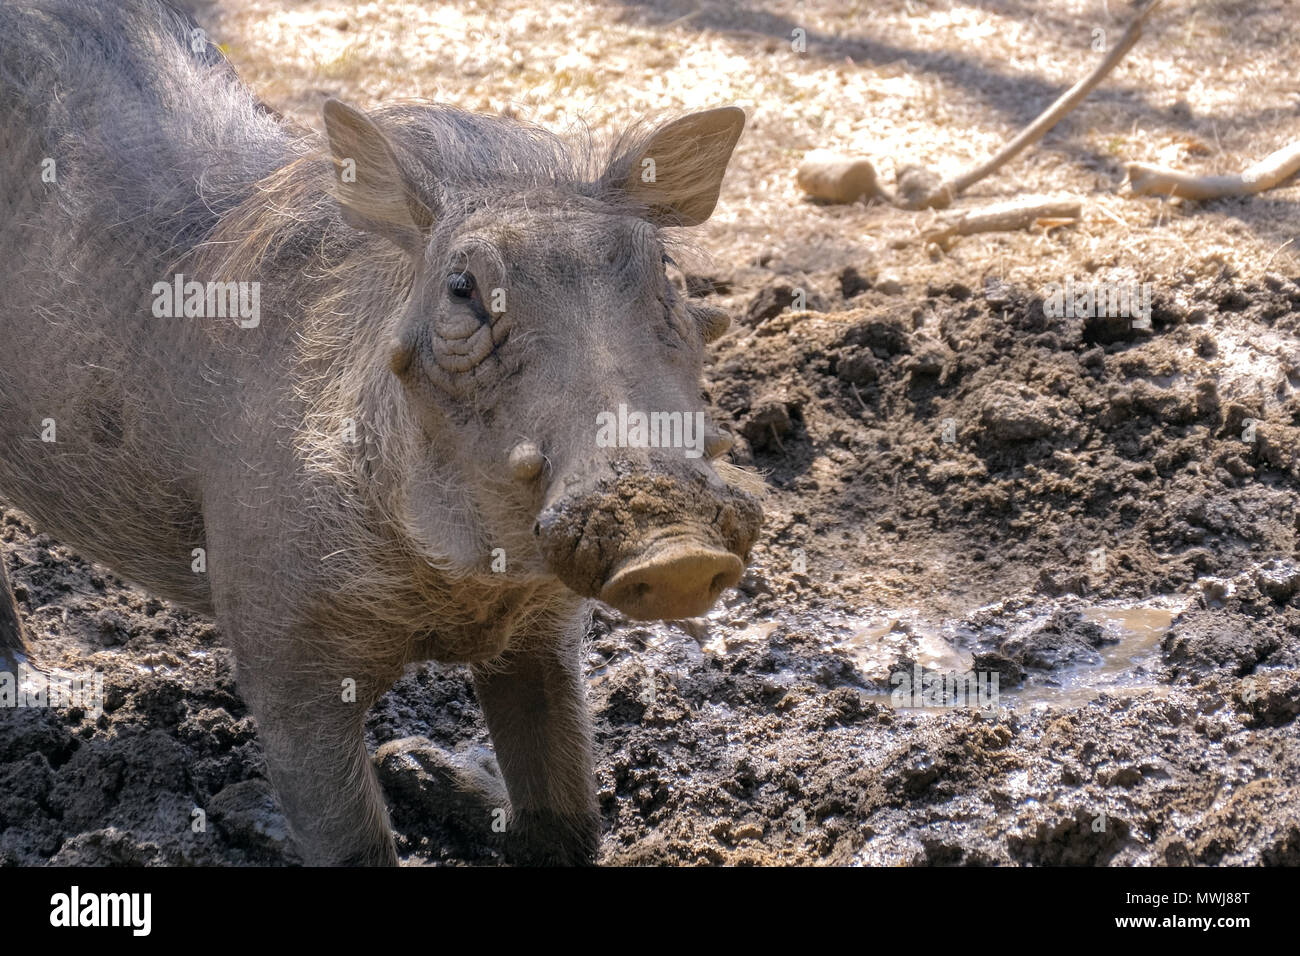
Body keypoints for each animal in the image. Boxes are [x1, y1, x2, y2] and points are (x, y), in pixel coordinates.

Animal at [0, 0, 762, 865]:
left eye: (664, 273)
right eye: (463, 291)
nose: (677, 552)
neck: (465, 578)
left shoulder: (540, 633)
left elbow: (566, 821)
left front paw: (420, 766)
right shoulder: (284, 662)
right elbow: (352, 843)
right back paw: (33, 690)